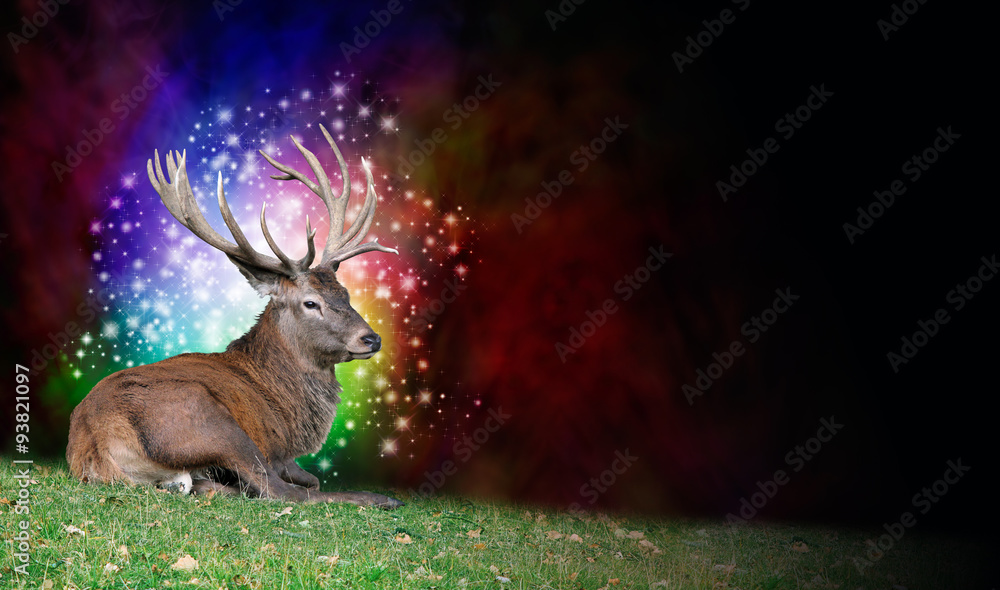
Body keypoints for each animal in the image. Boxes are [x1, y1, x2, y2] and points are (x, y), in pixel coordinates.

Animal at [66, 126, 403, 508]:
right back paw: (379, 498)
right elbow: (310, 481)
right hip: (213, 421)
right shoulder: (278, 449)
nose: (371, 338)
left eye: (344, 294)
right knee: (280, 492)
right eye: (310, 303)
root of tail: (97, 444)